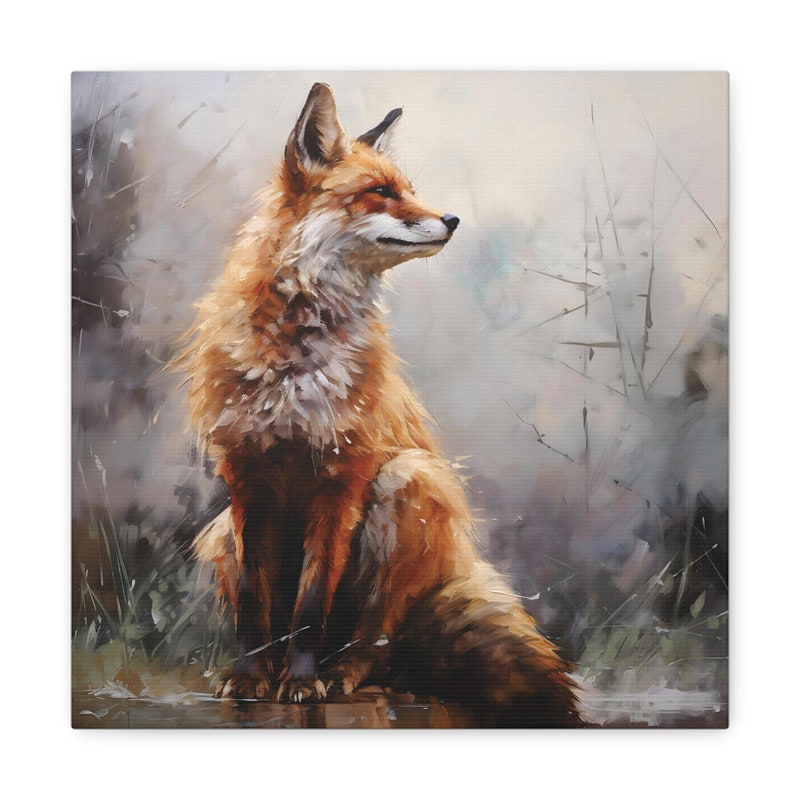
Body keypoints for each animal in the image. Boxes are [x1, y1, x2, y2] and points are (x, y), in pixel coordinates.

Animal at [177, 83, 584, 727]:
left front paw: (301, 683)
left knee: (375, 641)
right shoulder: (245, 475)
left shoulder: (342, 476)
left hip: (409, 483)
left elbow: (310, 609)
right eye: (381, 192)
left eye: (408, 189)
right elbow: (252, 602)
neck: (299, 358)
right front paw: (250, 679)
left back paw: (338, 674)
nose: (452, 219)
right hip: (221, 533)